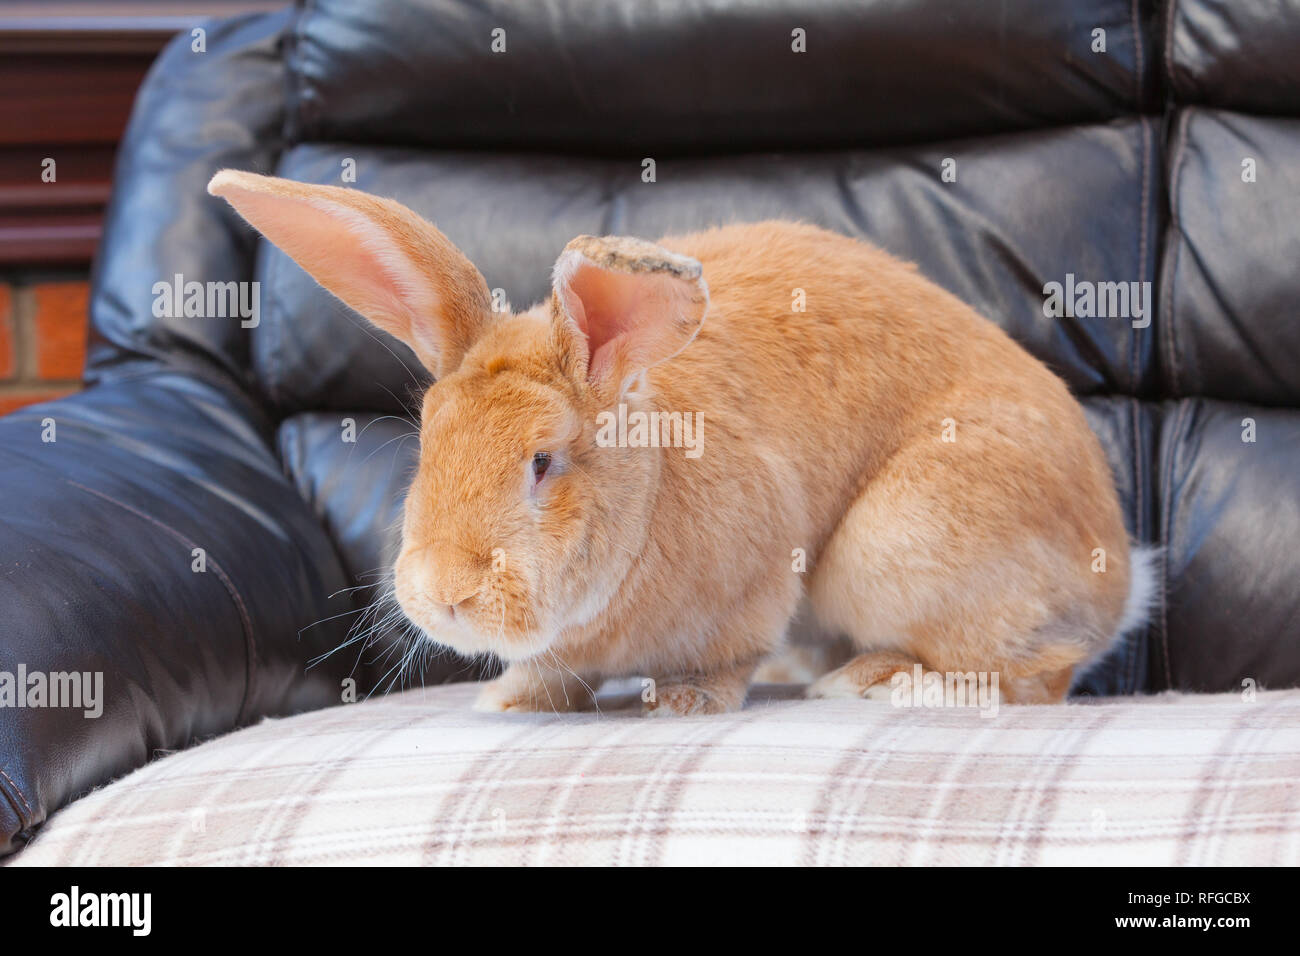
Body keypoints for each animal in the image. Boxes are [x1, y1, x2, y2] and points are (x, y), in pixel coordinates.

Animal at [208, 169, 1156, 716]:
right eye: (426, 445)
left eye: (542, 463)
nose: (445, 594)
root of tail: (1121, 570)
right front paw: (511, 702)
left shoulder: (759, 584)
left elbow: (727, 660)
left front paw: (687, 703)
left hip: (898, 542)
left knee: (1042, 674)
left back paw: (884, 683)